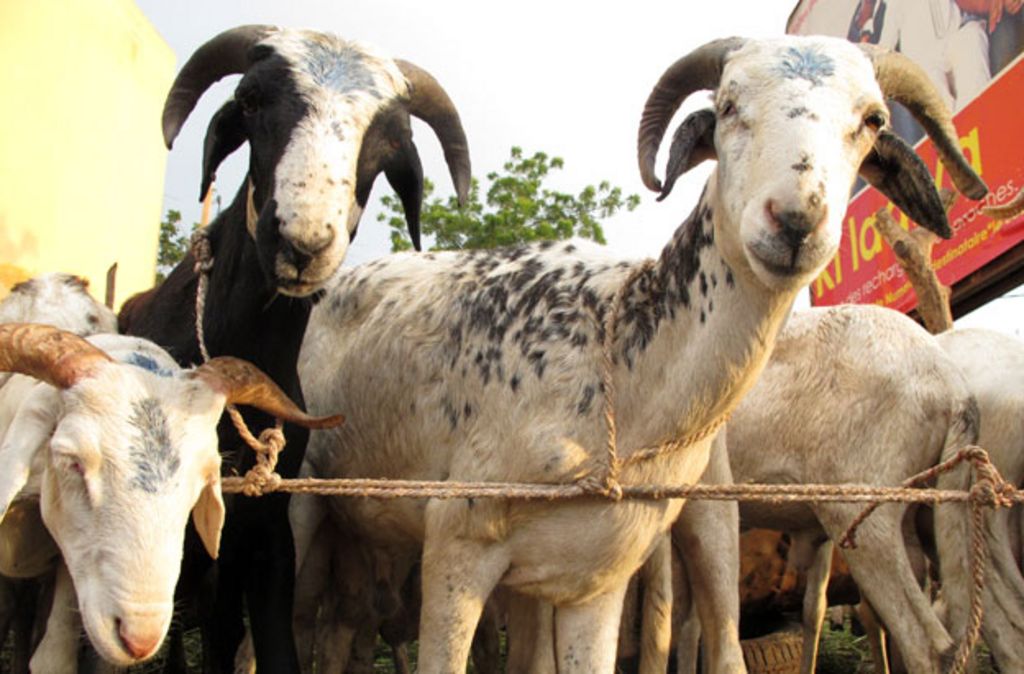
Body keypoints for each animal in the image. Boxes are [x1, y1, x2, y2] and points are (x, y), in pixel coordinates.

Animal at [290, 35, 986, 673]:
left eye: (872, 120)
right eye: (727, 105)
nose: (793, 221)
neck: (616, 371)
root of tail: (955, 387)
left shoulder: (596, 577)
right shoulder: (457, 544)